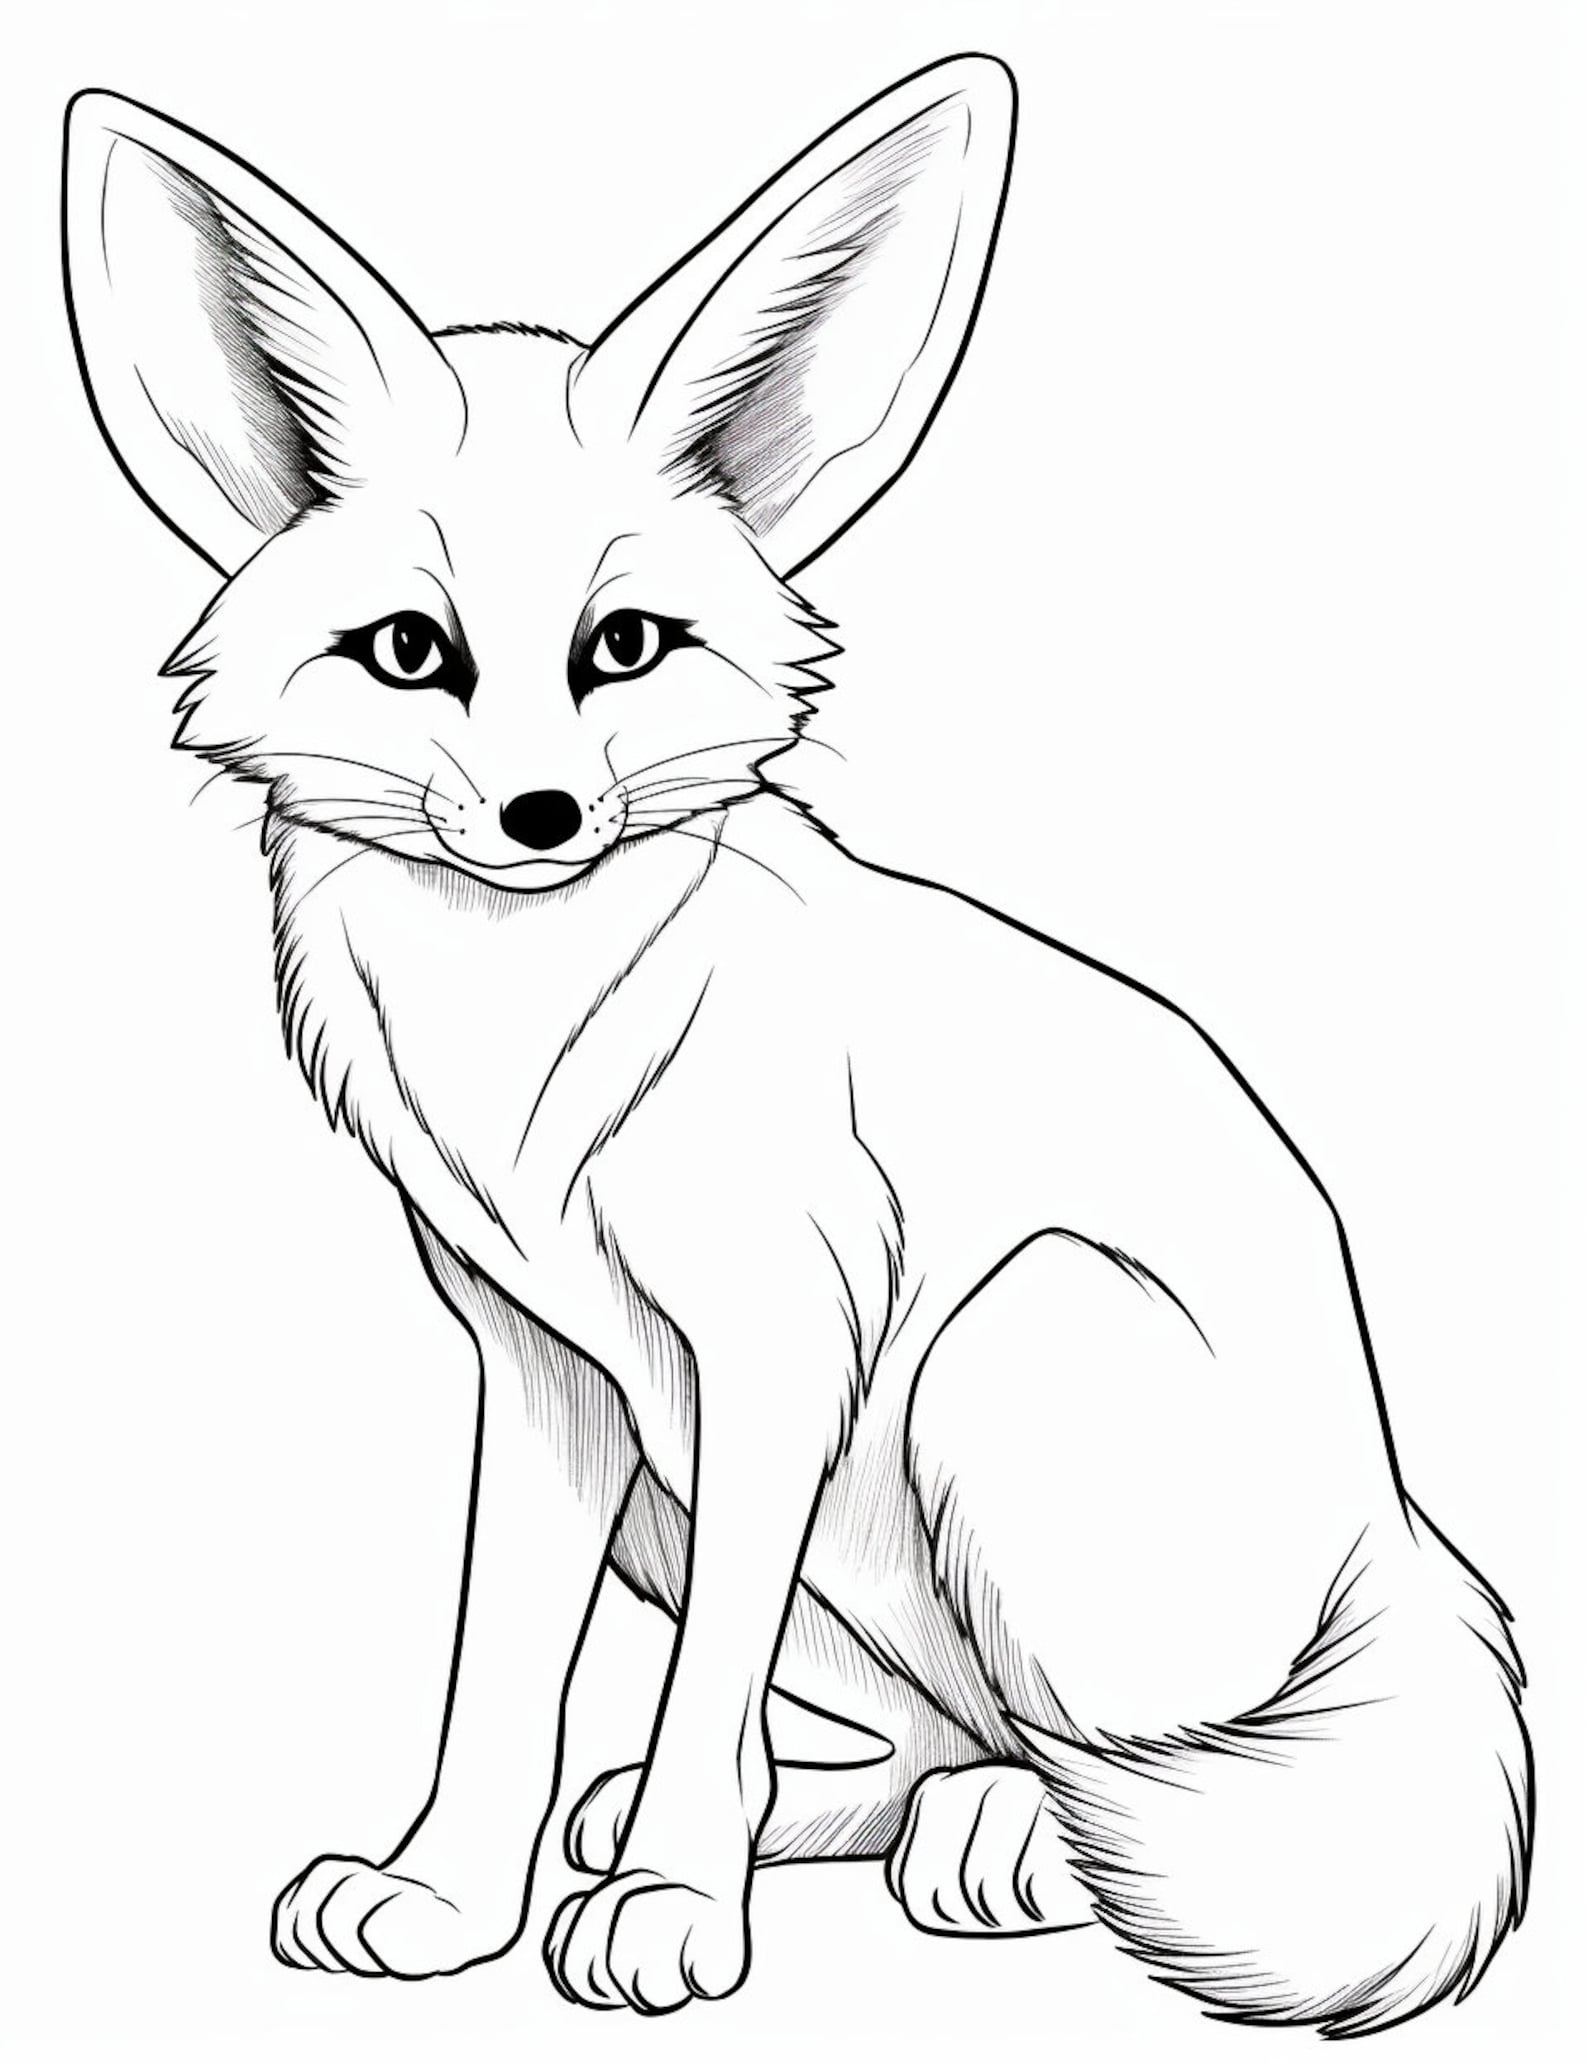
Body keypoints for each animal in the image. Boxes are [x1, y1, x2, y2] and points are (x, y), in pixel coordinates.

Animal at [63, 55, 1530, 2034]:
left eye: (624, 646)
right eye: (410, 653)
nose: (541, 816)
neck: (525, 1045)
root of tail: (1405, 1536)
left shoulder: (779, 1341)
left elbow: (703, 1706)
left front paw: (678, 1911)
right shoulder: (549, 1377)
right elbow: (500, 1677)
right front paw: (450, 1895)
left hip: (1004, 1349)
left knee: (1113, 1768)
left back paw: (1000, 1845)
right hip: (686, 1504)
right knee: (905, 1737)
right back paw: (782, 1817)